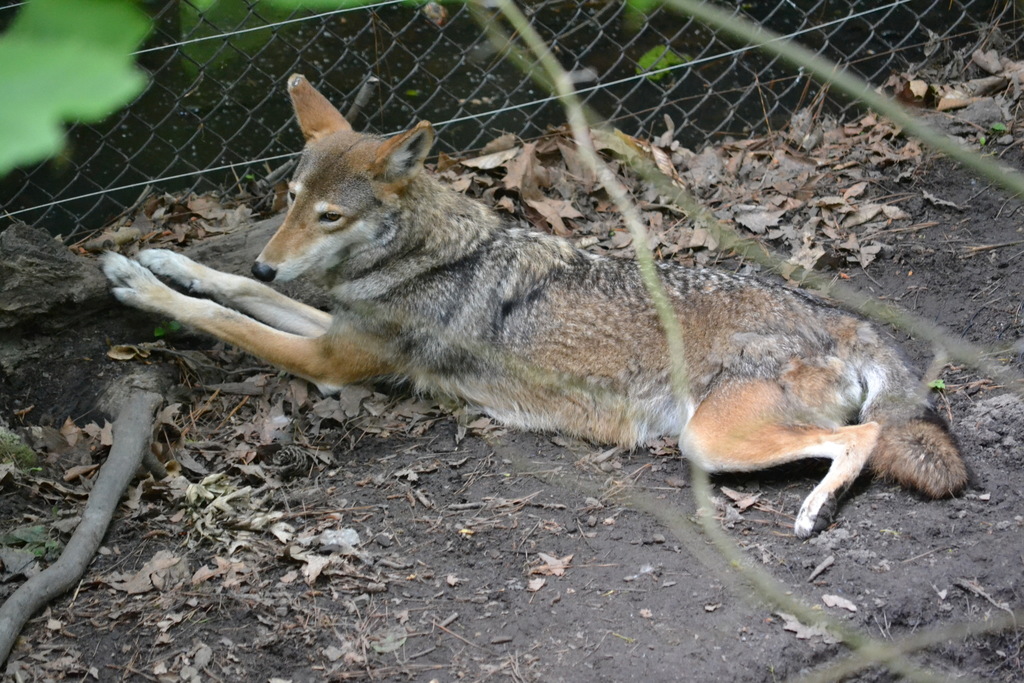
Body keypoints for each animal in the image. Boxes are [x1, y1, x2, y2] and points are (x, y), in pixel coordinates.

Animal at [102, 74, 968, 537]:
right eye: (288, 201)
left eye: (330, 216)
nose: (267, 255)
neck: (427, 255)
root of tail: (835, 315)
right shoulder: (339, 332)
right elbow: (239, 295)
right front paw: (161, 259)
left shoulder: (330, 361)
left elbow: (228, 317)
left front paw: (139, 283)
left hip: (710, 440)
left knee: (859, 438)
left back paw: (816, 510)